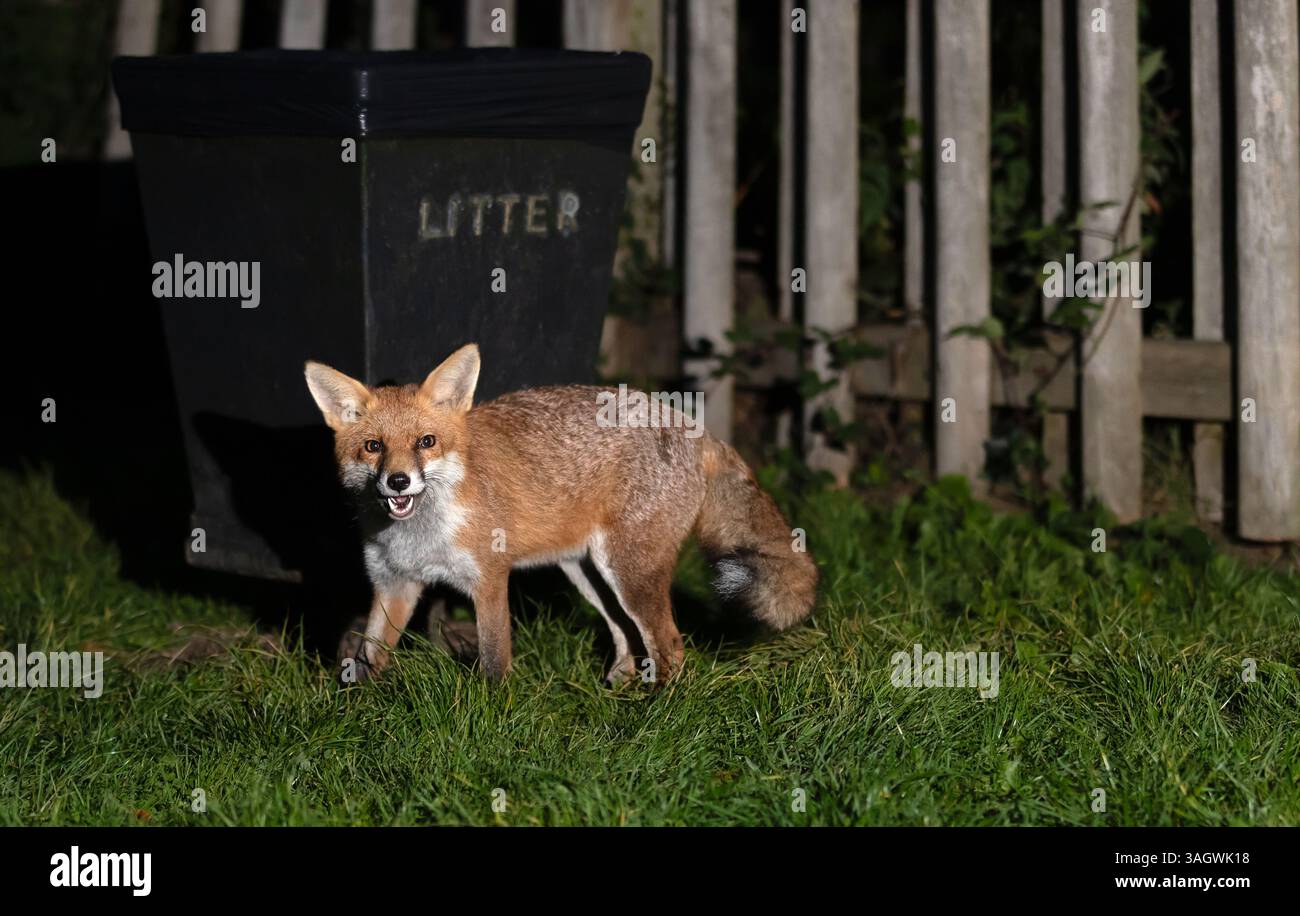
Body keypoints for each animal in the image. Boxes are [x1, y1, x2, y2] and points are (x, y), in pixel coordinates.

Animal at [304, 343, 817, 685]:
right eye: (373, 447)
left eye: (426, 442)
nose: (398, 482)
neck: (419, 536)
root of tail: (691, 424)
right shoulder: (395, 584)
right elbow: (368, 658)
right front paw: (361, 716)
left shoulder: (489, 579)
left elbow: (494, 662)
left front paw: (491, 719)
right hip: (588, 572)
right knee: (627, 637)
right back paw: (618, 691)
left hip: (629, 572)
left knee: (670, 646)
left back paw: (658, 718)